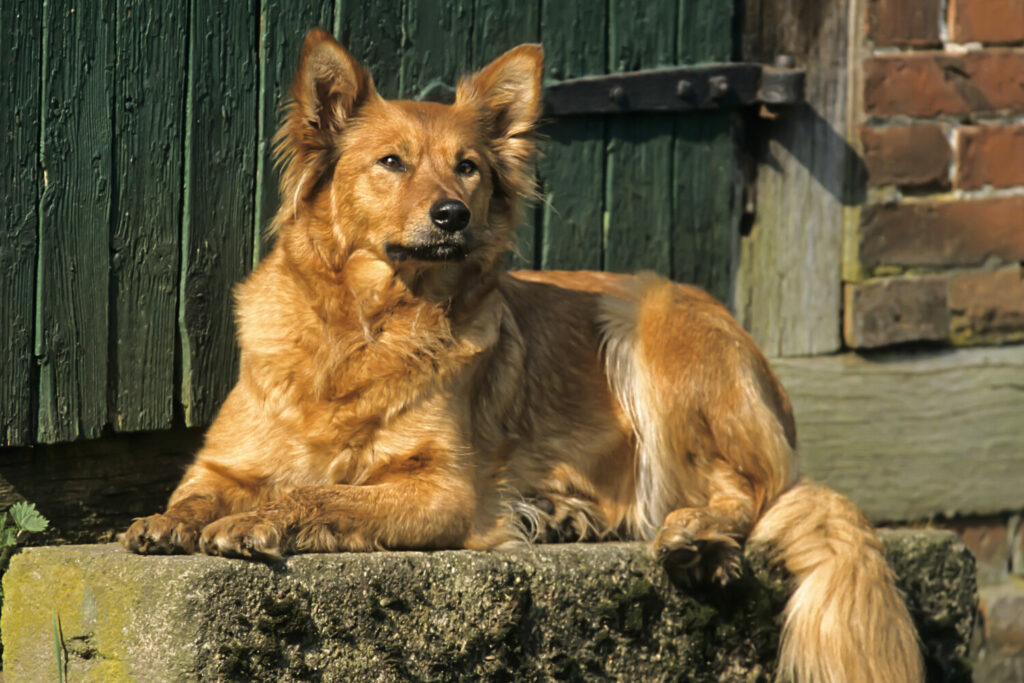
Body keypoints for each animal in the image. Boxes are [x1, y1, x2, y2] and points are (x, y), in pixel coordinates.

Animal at [122, 28, 924, 682]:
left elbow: (325, 493)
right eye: (391, 162)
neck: (365, 327)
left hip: (650, 320)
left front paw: (257, 520)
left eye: (469, 168)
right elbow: (197, 493)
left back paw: (695, 535)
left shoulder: (442, 490)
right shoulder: (221, 464)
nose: (453, 216)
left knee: (743, 491)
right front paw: (172, 521)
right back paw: (573, 516)